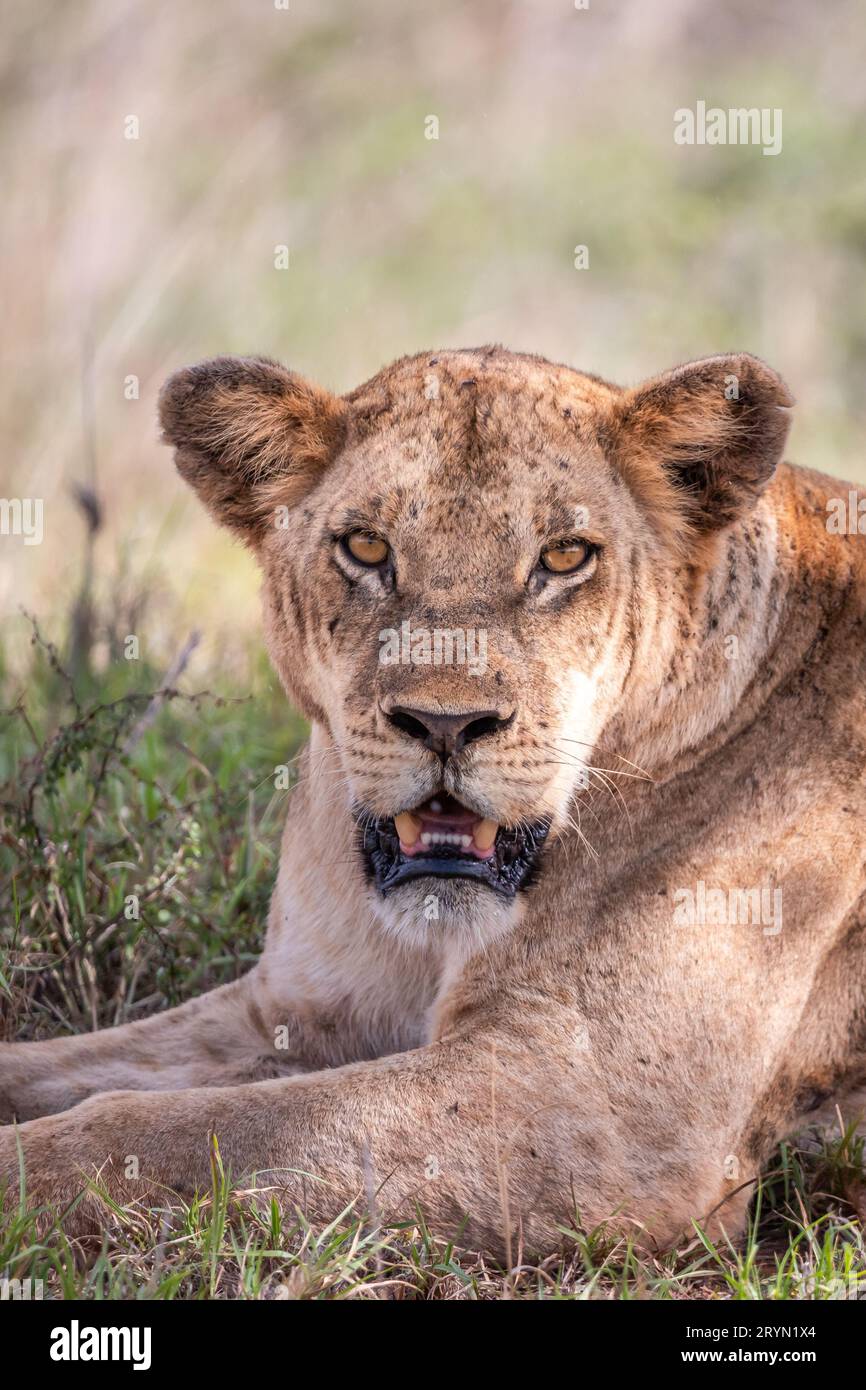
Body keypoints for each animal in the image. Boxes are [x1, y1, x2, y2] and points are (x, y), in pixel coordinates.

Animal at [2, 345, 865, 1257]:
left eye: (565, 557)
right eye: (366, 546)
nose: (446, 724)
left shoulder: (599, 1106)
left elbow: (185, 1130)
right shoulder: (289, 1009)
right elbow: (65, 1069)